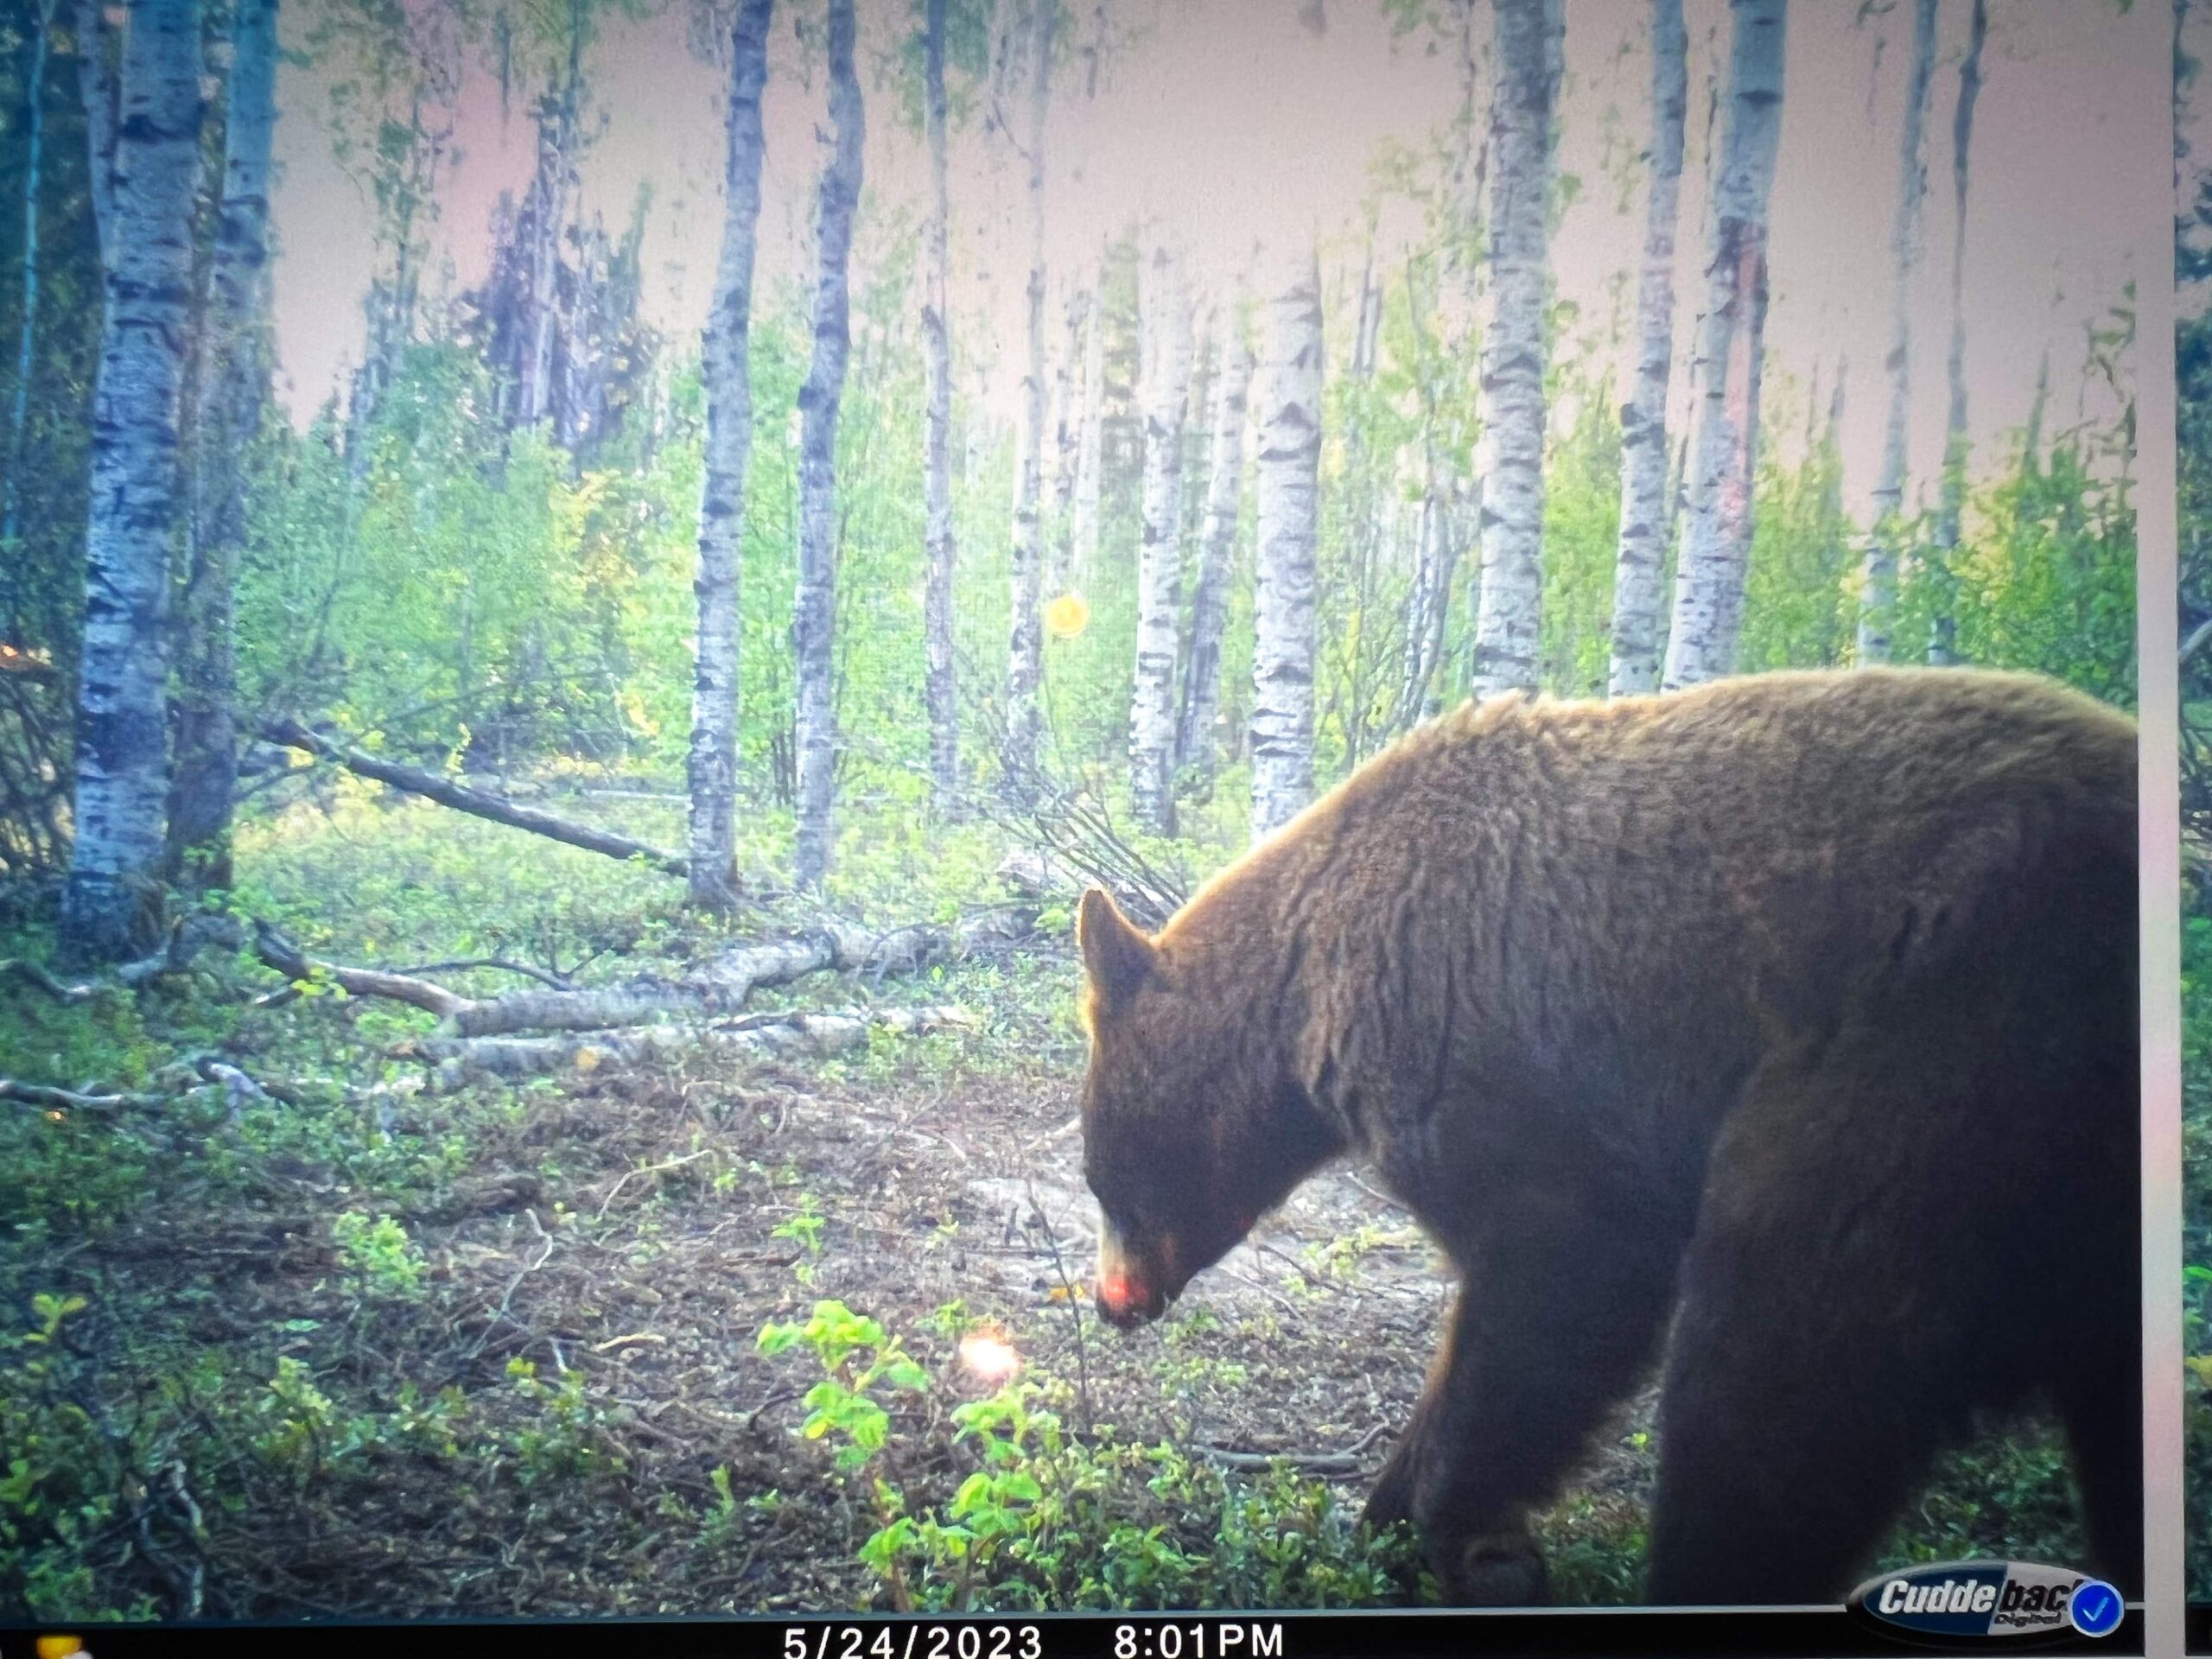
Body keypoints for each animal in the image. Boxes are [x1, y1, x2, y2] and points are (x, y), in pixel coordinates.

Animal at [1073, 667, 2139, 1607]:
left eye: (1095, 1176)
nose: (1110, 1301)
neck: (1302, 1000)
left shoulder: (1491, 1050)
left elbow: (1562, 1272)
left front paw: (1467, 1540)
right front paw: (1392, 1523)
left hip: (1933, 1048)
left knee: (1783, 1348)